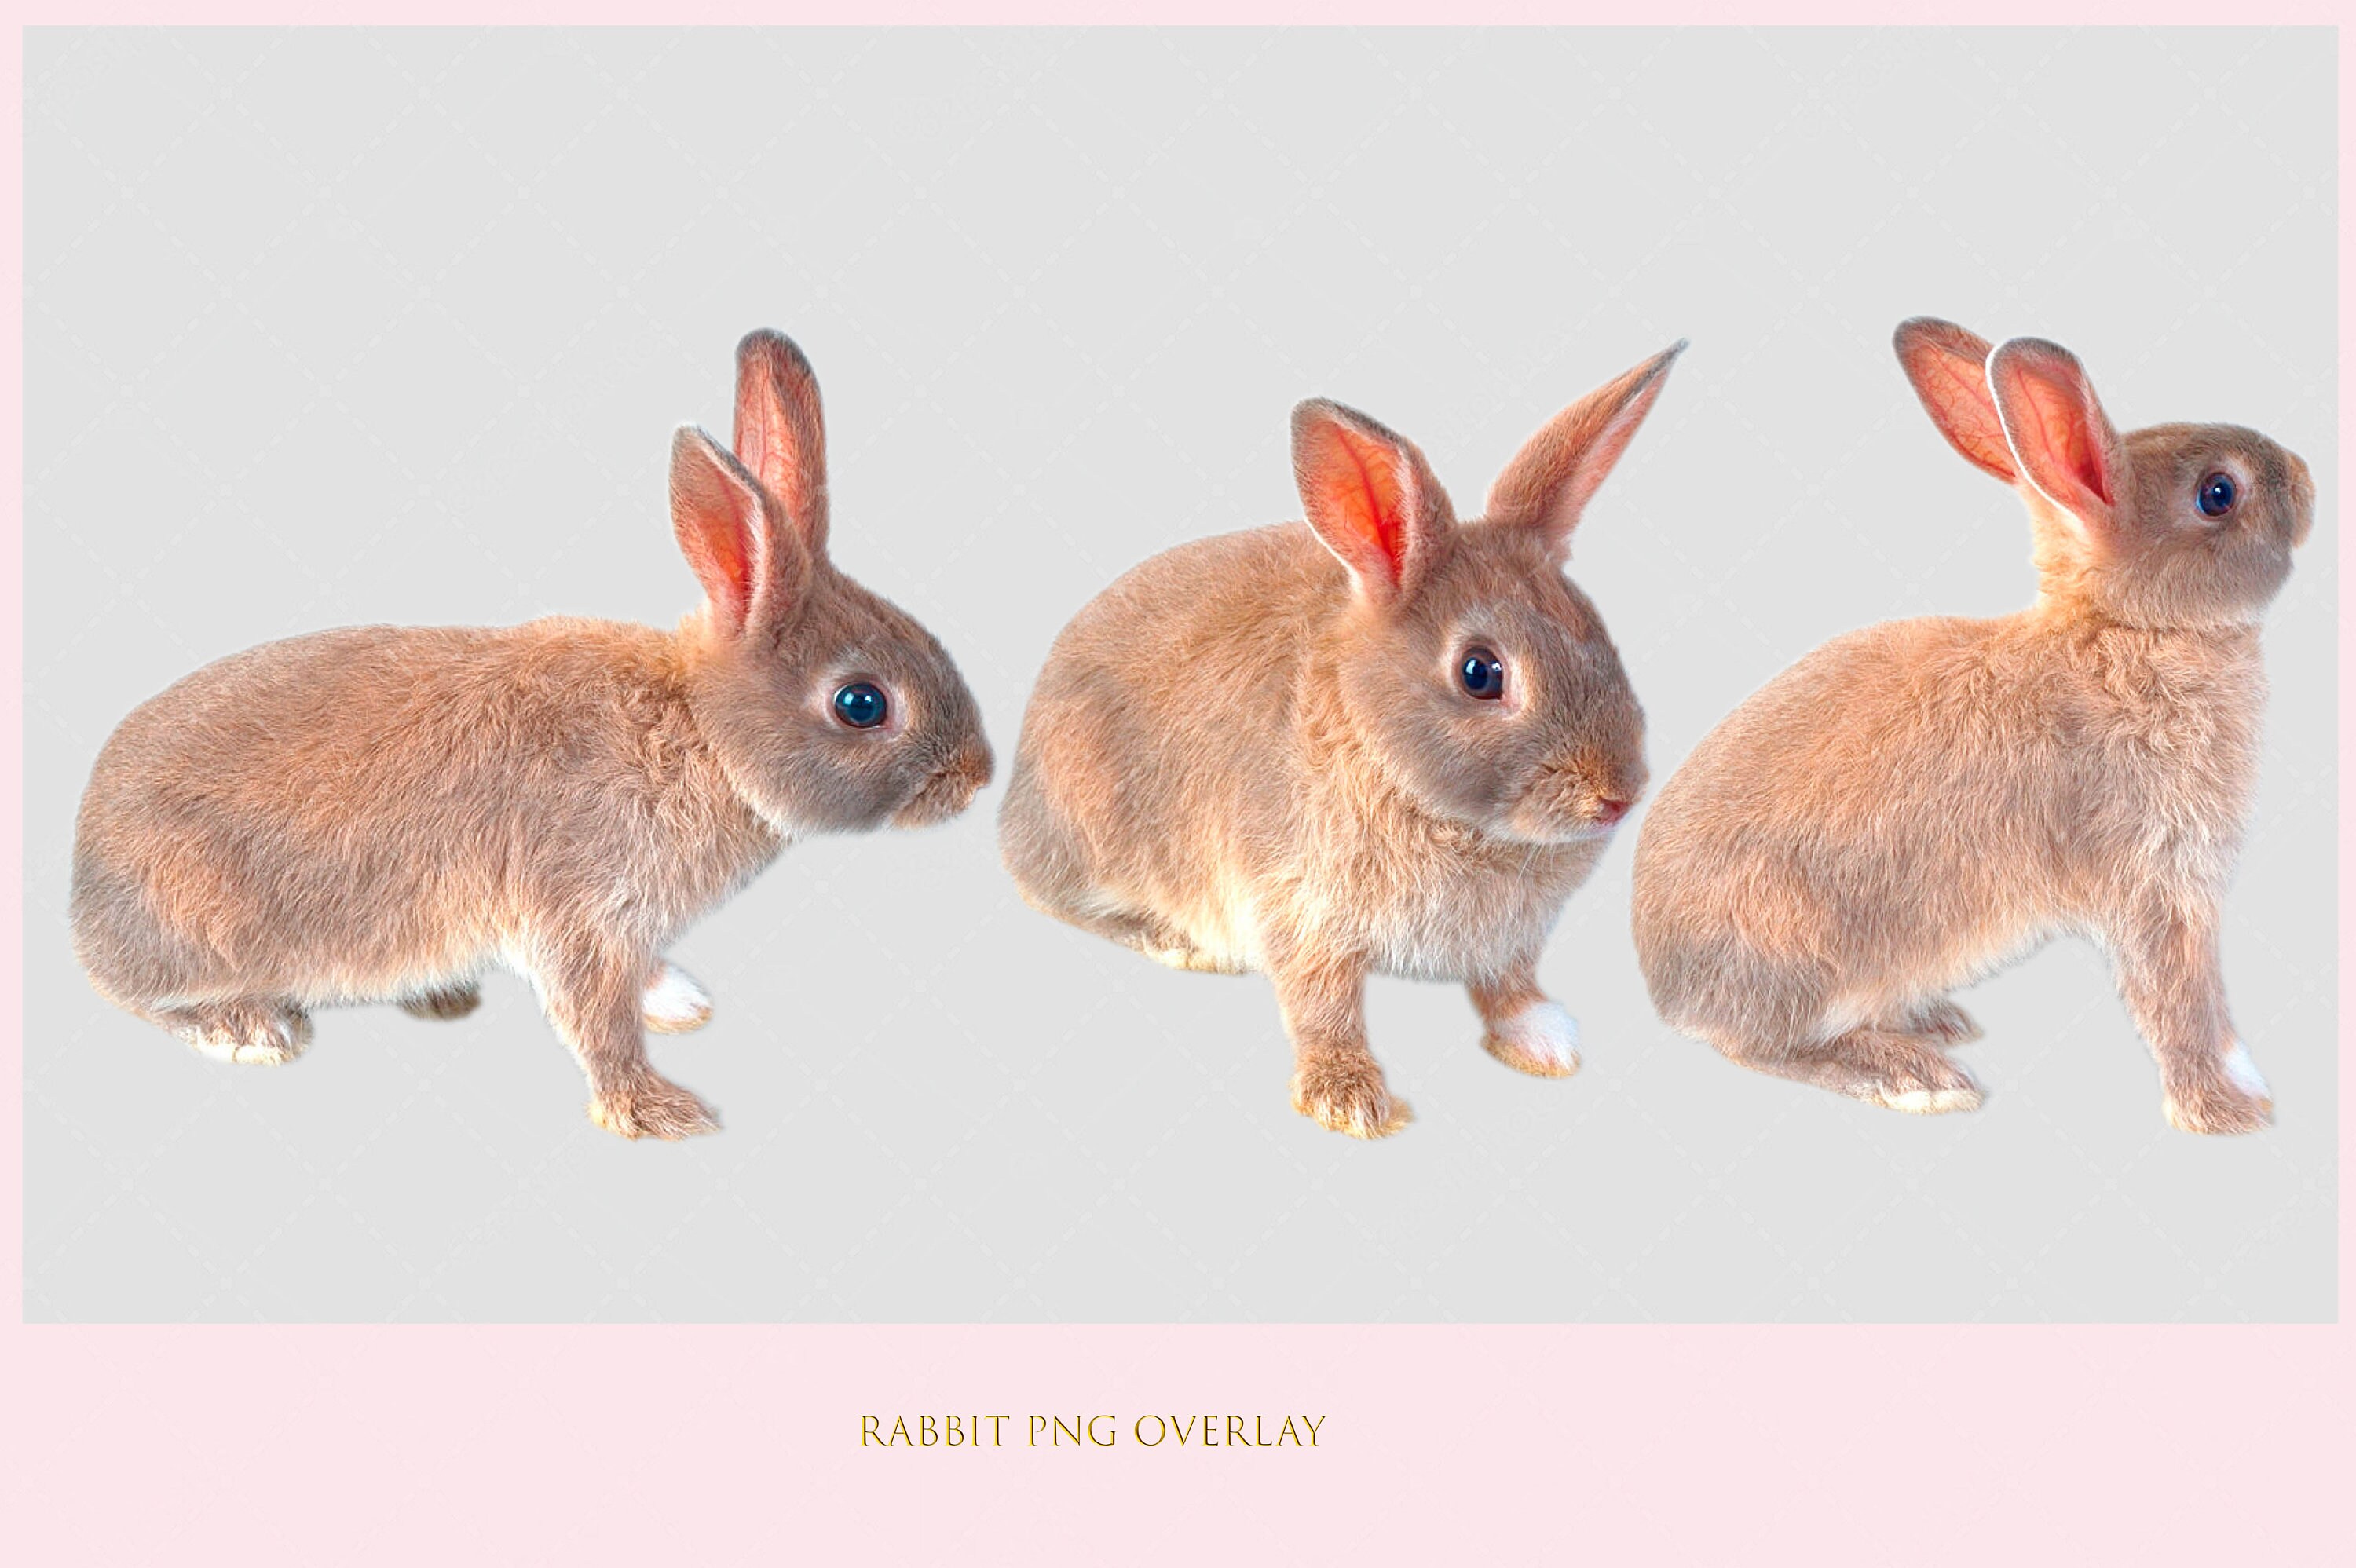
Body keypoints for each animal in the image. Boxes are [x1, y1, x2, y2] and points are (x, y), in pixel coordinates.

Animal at [69, 329, 993, 1140]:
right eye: (862, 704)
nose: (977, 775)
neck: (701, 730)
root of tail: (82, 871)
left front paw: (676, 1000)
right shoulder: (581, 908)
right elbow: (594, 1017)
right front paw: (656, 1111)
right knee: (131, 993)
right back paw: (247, 1027)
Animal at [999, 344, 1684, 1138]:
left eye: (1599, 632)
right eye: (1480, 673)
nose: (1618, 796)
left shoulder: (1506, 939)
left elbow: (1505, 982)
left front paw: (1542, 1037)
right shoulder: (1297, 906)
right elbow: (1321, 1005)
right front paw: (1350, 1099)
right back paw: (1178, 942)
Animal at [1631, 318, 2313, 1134]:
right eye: (2219, 493)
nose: (2307, 477)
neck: (2129, 628)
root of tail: (1666, 985)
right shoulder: (2154, 877)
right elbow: (2179, 998)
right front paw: (2227, 1111)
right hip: (1800, 943)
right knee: (1763, 1045)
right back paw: (1910, 1074)